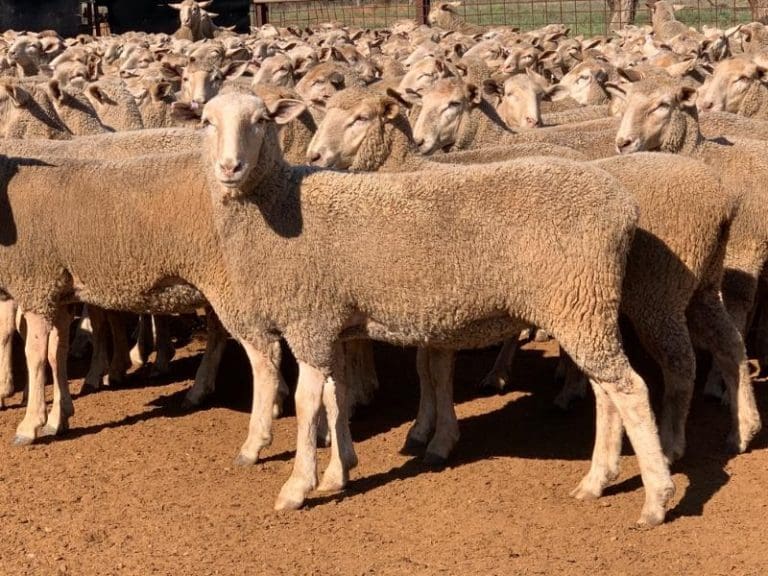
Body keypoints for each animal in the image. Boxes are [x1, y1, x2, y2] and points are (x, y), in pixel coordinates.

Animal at [199, 92, 674, 526]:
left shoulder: (308, 319)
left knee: (630, 389)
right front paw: (340, 470)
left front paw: (298, 486)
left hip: (579, 303)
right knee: (606, 391)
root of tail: (623, 205)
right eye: (207, 122)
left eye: (261, 120)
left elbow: (307, 401)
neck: (280, 203)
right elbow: (337, 396)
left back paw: (656, 497)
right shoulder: (331, 323)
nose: (230, 168)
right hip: (583, 308)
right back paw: (597, 480)